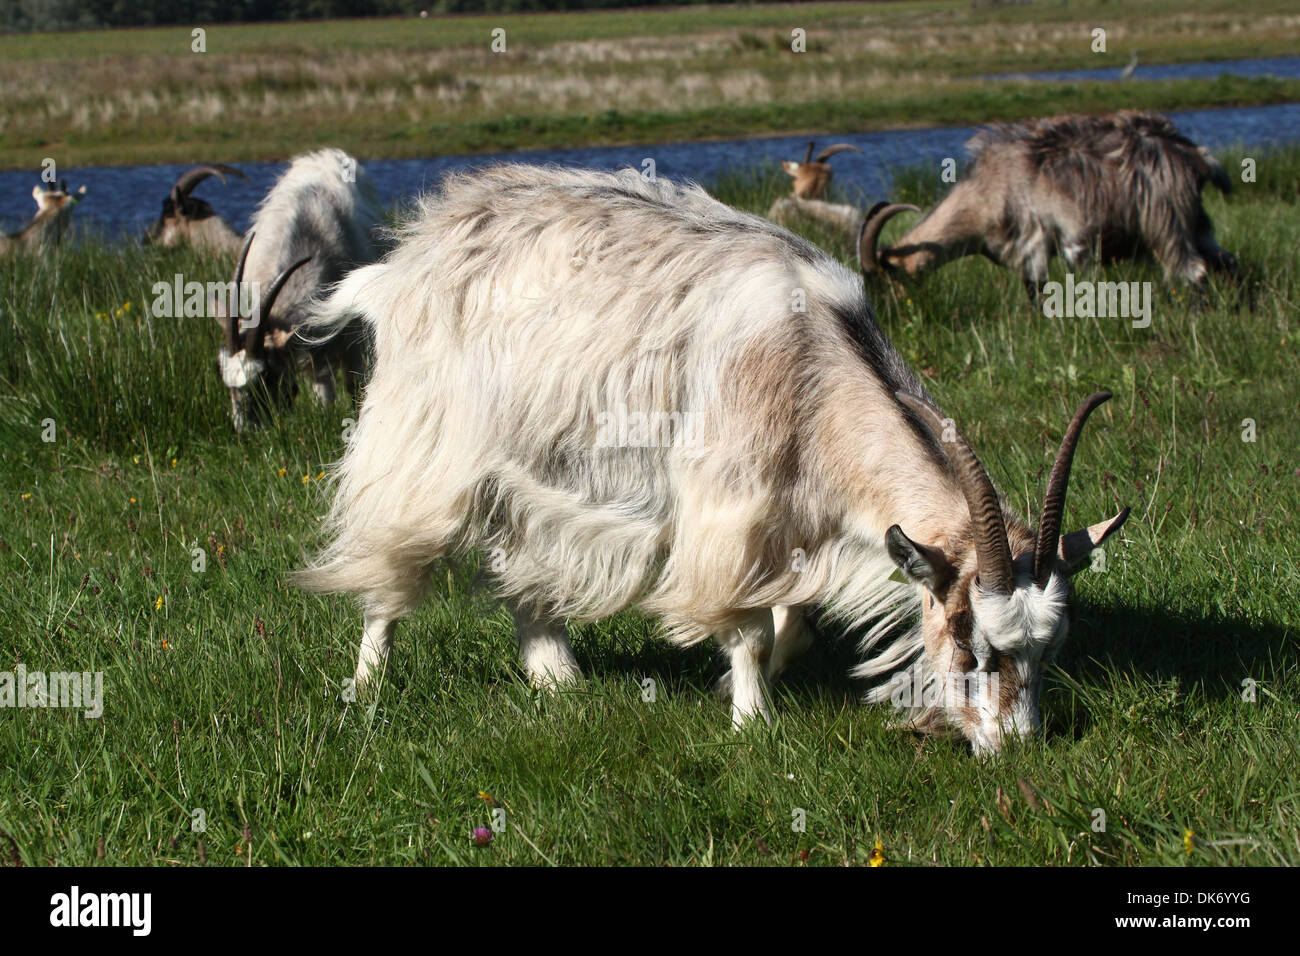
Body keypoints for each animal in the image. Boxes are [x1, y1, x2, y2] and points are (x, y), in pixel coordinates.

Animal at [297, 165, 1128, 754]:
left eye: (1050, 647)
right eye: (969, 639)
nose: (1014, 747)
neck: (814, 359)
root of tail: (405, 260)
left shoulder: (796, 518)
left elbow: (792, 620)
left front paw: (766, 679)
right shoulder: (732, 506)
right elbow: (749, 627)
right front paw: (752, 722)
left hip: (531, 460)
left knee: (520, 552)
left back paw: (556, 676)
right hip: (423, 440)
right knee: (393, 553)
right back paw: (367, 686)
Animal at [858, 111, 1236, 300]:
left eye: (884, 280)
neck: (983, 192)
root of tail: (1193, 154)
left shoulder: (1033, 240)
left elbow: (1035, 292)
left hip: (1167, 224)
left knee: (1193, 272)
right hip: (1197, 223)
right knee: (1225, 260)